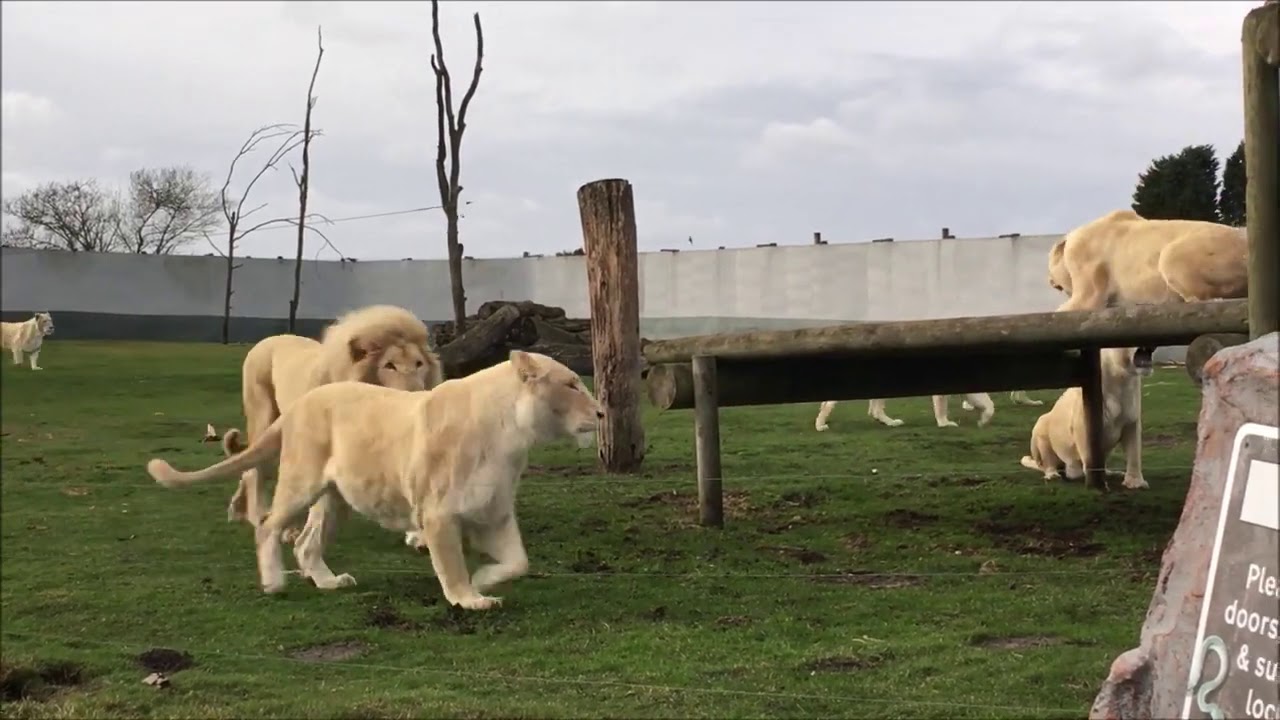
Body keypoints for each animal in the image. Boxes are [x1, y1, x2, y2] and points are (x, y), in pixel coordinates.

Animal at [147, 350, 603, 610]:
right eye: (571, 384)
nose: (601, 413)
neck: (514, 435)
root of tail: (300, 404)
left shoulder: (493, 511)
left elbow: (519, 563)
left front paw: (484, 581)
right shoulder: (438, 512)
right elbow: (451, 563)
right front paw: (469, 599)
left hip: (334, 501)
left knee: (307, 543)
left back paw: (329, 583)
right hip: (301, 483)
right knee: (269, 526)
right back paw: (274, 582)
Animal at [221, 304, 444, 535]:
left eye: (419, 363)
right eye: (389, 365)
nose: (418, 393)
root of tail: (269, 339)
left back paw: (238, 509)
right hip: (264, 416)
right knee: (255, 470)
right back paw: (259, 516)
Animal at [1018, 346, 1153, 489]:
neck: (1122, 379)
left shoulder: (1131, 421)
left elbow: (1134, 452)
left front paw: (1136, 483)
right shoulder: (1083, 419)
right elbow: (1088, 449)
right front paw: (1093, 480)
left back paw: (1110, 472)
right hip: (1040, 429)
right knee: (1048, 462)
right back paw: (1055, 474)